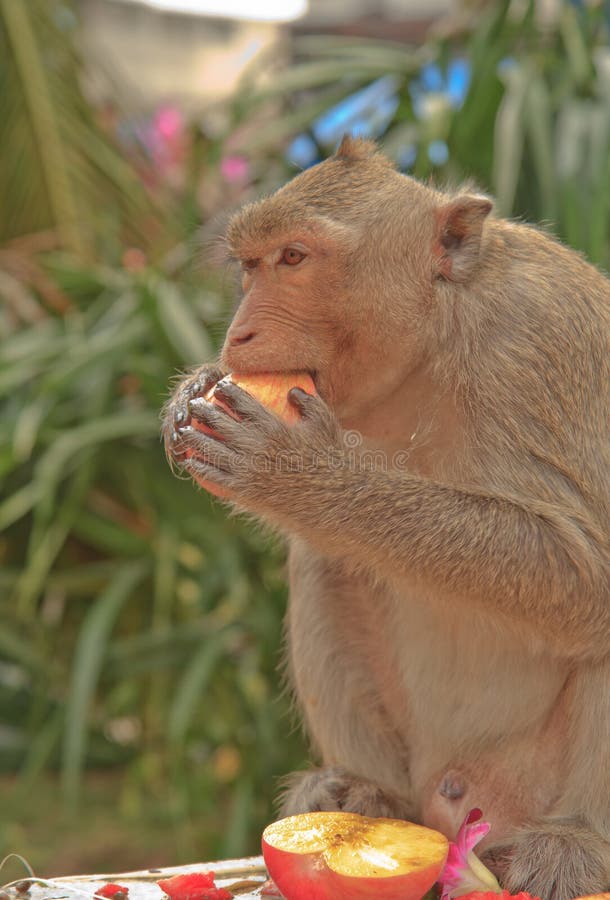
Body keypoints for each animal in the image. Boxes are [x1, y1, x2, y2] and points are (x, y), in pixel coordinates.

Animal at [163, 137, 610, 900]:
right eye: (249, 265)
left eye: (293, 258)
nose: (238, 335)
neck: (438, 336)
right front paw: (192, 389)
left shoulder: (541, 343)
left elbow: (585, 570)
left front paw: (298, 473)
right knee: (326, 559)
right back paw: (364, 799)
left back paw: (578, 842)